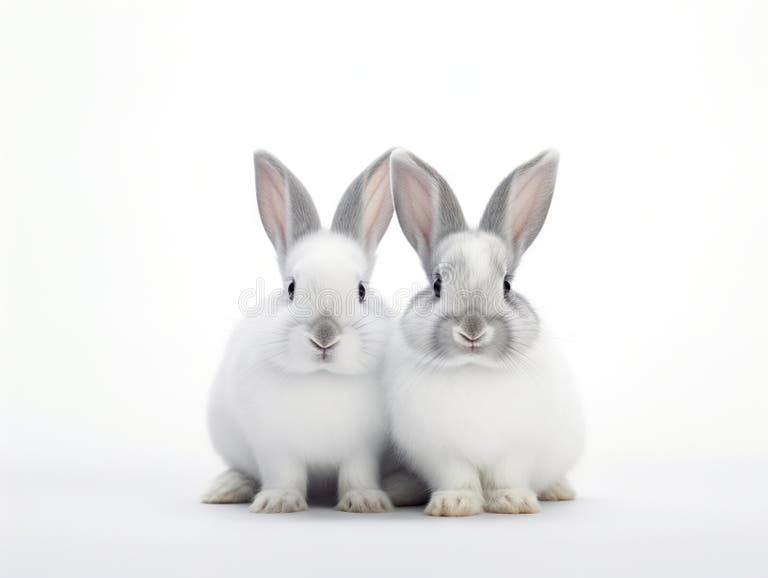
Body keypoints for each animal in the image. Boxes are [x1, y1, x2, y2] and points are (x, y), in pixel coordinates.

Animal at [202, 150, 397, 513]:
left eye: (361, 291)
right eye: (292, 288)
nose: (324, 336)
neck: (321, 378)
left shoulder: (363, 448)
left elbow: (357, 473)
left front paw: (365, 501)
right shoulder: (275, 446)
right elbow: (284, 474)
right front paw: (278, 502)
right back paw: (225, 488)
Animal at [382, 148, 585, 516]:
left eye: (506, 286)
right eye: (437, 285)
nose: (472, 331)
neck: (473, 369)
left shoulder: (517, 448)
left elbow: (506, 475)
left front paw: (512, 502)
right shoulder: (440, 452)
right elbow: (458, 477)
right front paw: (455, 504)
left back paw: (558, 490)